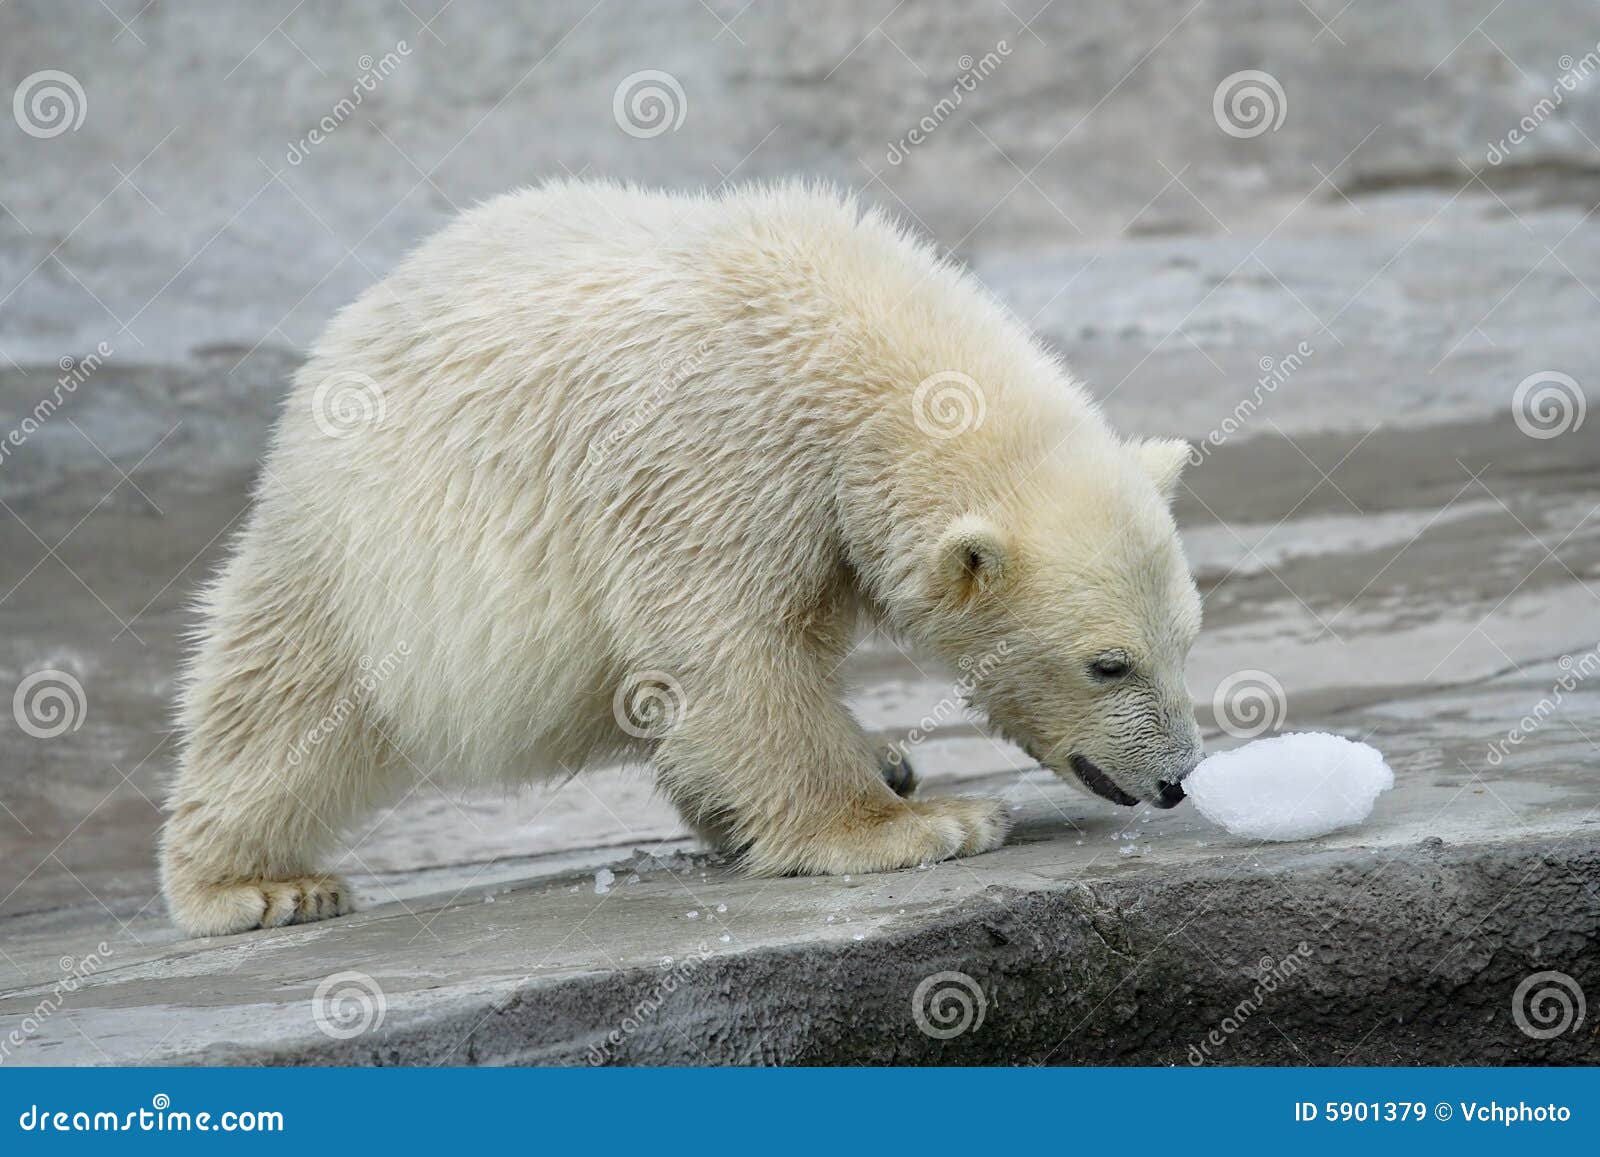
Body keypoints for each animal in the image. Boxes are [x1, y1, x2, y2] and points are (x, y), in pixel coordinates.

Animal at [160, 180, 1203, 936]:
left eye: (1185, 642)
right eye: (1108, 663)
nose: (1177, 779)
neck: (851, 347)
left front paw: (892, 783)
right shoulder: (723, 450)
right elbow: (731, 644)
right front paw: (918, 826)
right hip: (360, 538)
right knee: (285, 700)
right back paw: (258, 886)